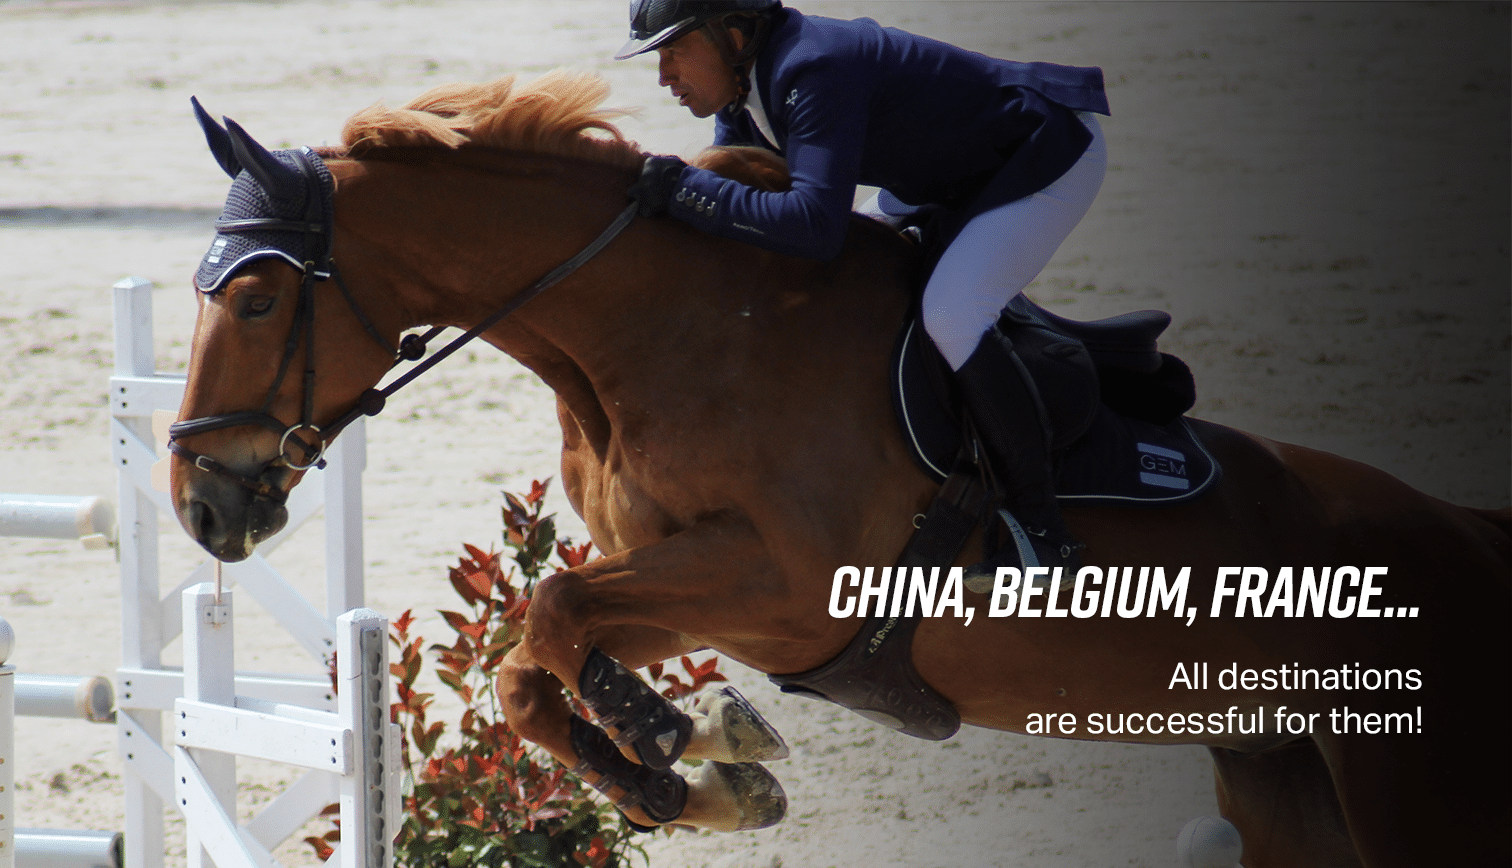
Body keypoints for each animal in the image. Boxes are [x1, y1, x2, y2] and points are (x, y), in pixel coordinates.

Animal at [168, 72, 1510, 867]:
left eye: (257, 294)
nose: (201, 505)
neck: (654, 334)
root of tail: (1471, 531)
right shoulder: (693, 580)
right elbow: (530, 659)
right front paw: (692, 763)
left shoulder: (790, 587)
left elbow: (551, 609)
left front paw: (683, 733)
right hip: (1285, 775)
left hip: (1414, 792)